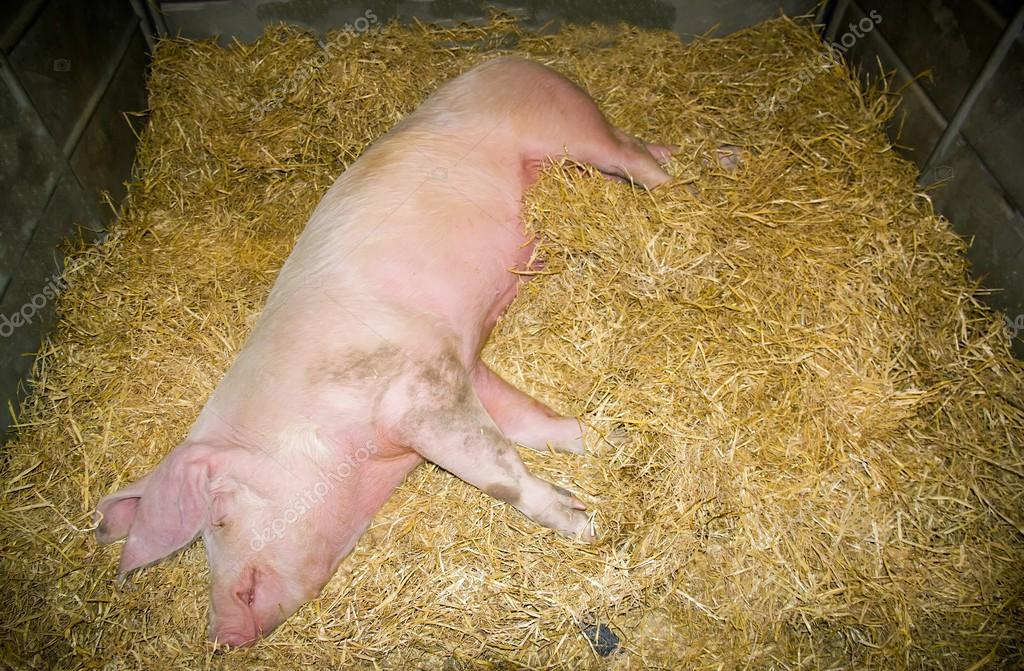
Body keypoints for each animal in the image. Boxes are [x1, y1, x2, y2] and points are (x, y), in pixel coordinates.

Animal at [94, 56, 674, 647]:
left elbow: (496, 470)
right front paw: (618, 440)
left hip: (567, 124)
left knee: (633, 158)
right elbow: (535, 425)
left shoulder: (421, 385)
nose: (222, 634)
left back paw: (678, 192)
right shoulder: (463, 368)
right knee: (637, 145)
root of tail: (512, 59)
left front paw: (584, 523)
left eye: (217, 519)